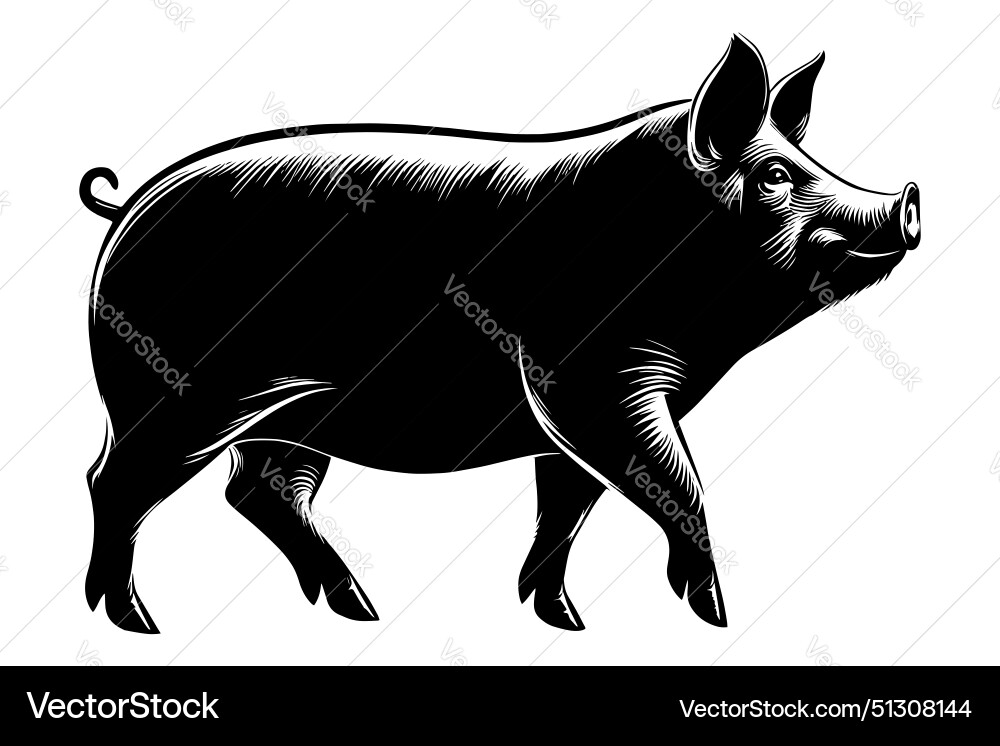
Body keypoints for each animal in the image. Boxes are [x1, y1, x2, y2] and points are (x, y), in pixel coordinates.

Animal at [80, 34, 920, 634]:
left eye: (812, 159)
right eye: (775, 175)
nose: (908, 198)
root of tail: (126, 208)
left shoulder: (575, 414)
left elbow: (570, 503)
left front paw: (565, 622)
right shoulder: (592, 379)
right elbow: (676, 482)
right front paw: (713, 615)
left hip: (294, 414)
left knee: (258, 487)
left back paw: (359, 608)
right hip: (175, 394)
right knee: (115, 482)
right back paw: (137, 623)